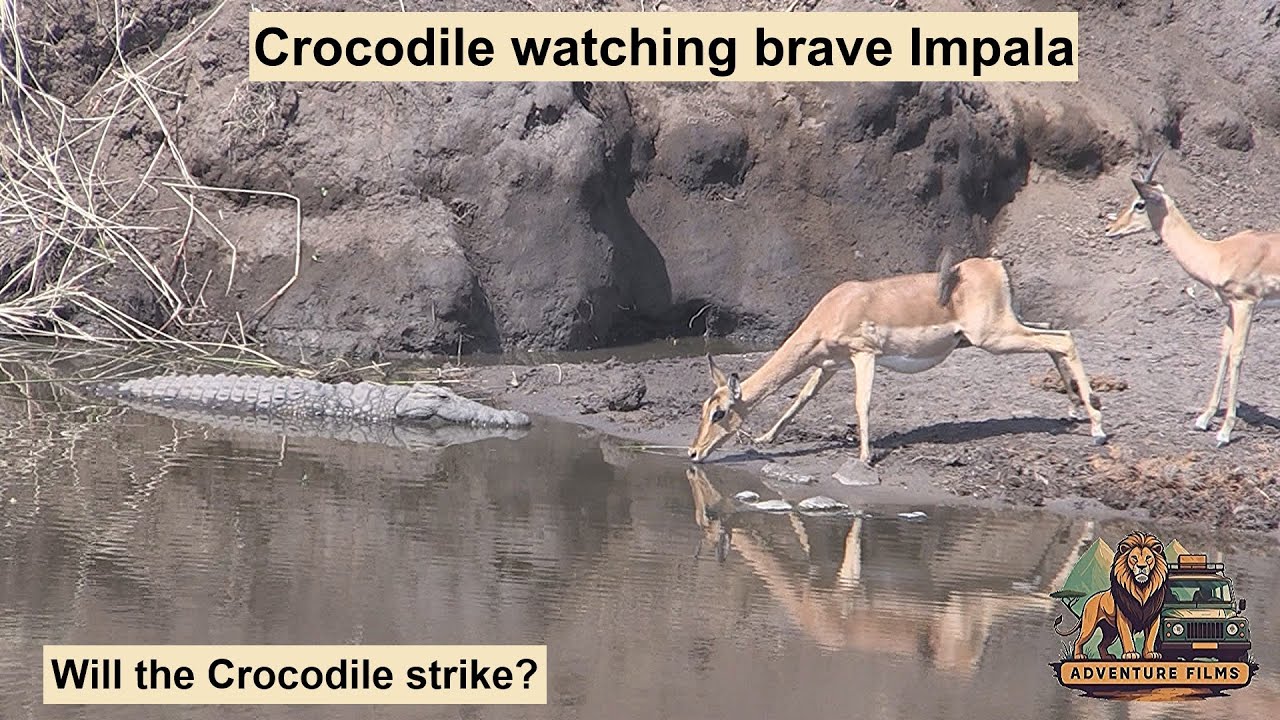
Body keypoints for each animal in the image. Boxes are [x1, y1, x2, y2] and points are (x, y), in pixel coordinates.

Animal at [686, 252, 1107, 466]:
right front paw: (766, 437)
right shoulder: (830, 364)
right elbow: (801, 398)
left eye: (718, 413)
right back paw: (1074, 411)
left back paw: (1098, 428)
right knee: (1053, 335)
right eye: (702, 410)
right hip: (1008, 326)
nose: (692, 452)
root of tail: (994, 264)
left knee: (1064, 338)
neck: (835, 308)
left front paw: (864, 457)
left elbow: (862, 403)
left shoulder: (863, 355)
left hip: (993, 337)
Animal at [1105, 151, 1280, 446]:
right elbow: (1224, 350)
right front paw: (1204, 419)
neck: (1218, 254)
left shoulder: (1245, 305)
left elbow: (1237, 354)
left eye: (1139, 204)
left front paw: (1225, 431)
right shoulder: (1230, 307)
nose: (1110, 228)